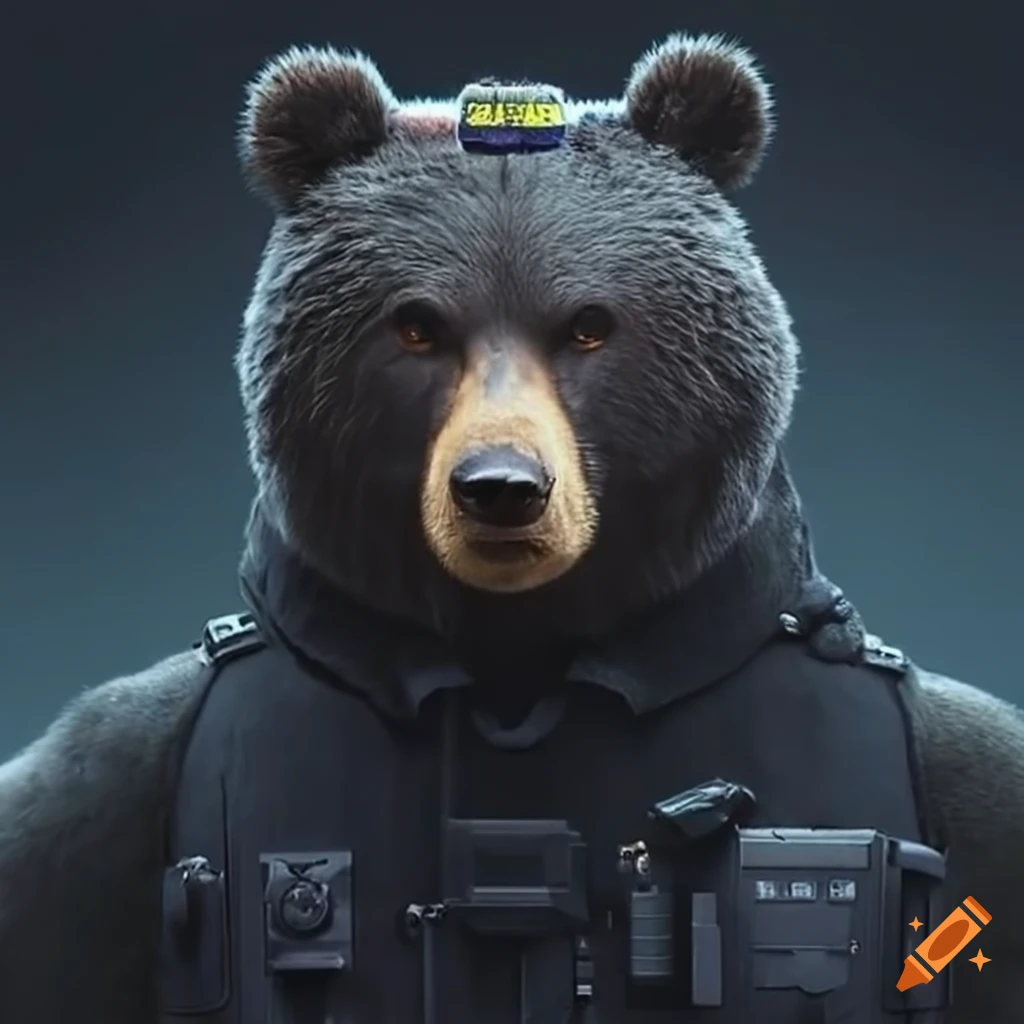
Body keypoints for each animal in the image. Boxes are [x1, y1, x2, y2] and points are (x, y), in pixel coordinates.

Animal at [1, 32, 1022, 1024]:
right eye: (416, 327)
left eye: (589, 325)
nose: (501, 488)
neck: (517, 658)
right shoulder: (108, 781)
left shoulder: (968, 772)